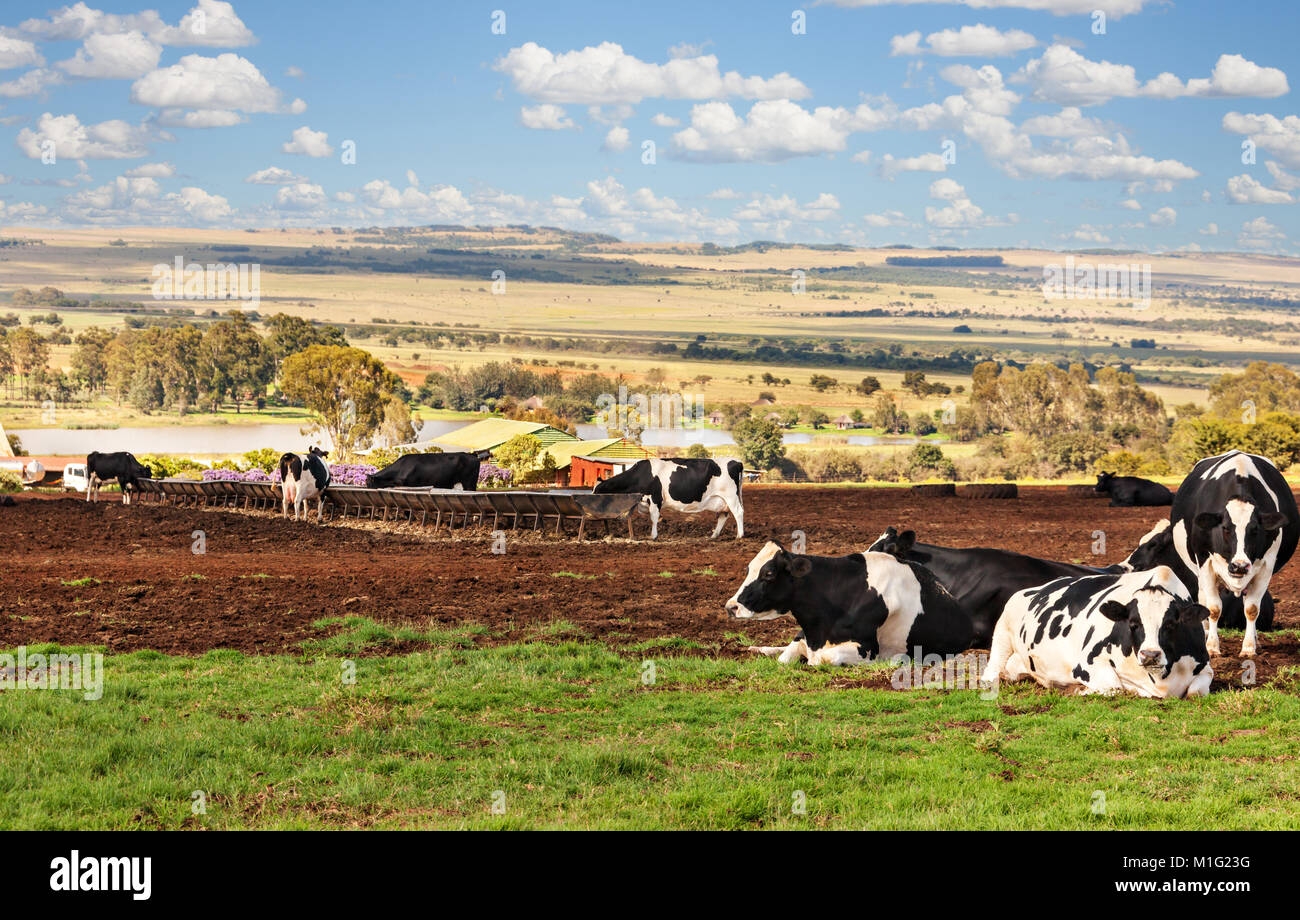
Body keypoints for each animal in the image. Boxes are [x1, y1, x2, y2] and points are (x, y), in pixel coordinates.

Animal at [593, 457, 743, 539]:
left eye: (597, 493)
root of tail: (736, 462)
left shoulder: (655, 498)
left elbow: (654, 518)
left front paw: (653, 536)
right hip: (722, 500)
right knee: (723, 516)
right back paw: (714, 536)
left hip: (731, 496)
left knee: (738, 512)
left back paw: (740, 536)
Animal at [724, 542, 973, 666]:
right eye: (748, 569)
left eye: (768, 573)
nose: (731, 606)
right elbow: (785, 657)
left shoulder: (867, 648)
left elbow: (819, 660)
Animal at [980, 567, 1213, 699]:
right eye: (1133, 624)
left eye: (1171, 624)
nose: (1150, 655)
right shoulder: (1086, 663)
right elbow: (1114, 687)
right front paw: (1075, 689)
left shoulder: (1206, 669)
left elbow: (1195, 693)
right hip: (1002, 630)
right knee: (991, 670)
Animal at [1170, 450, 1298, 658]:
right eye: (1225, 528)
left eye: (1255, 529)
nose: (1239, 566)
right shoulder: (1205, 561)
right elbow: (1213, 608)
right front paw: (1212, 647)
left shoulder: (1266, 565)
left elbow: (1252, 608)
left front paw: (1249, 648)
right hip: (1197, 569)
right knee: (1203, 598)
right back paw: (1205, 633)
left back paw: (1255, 640)